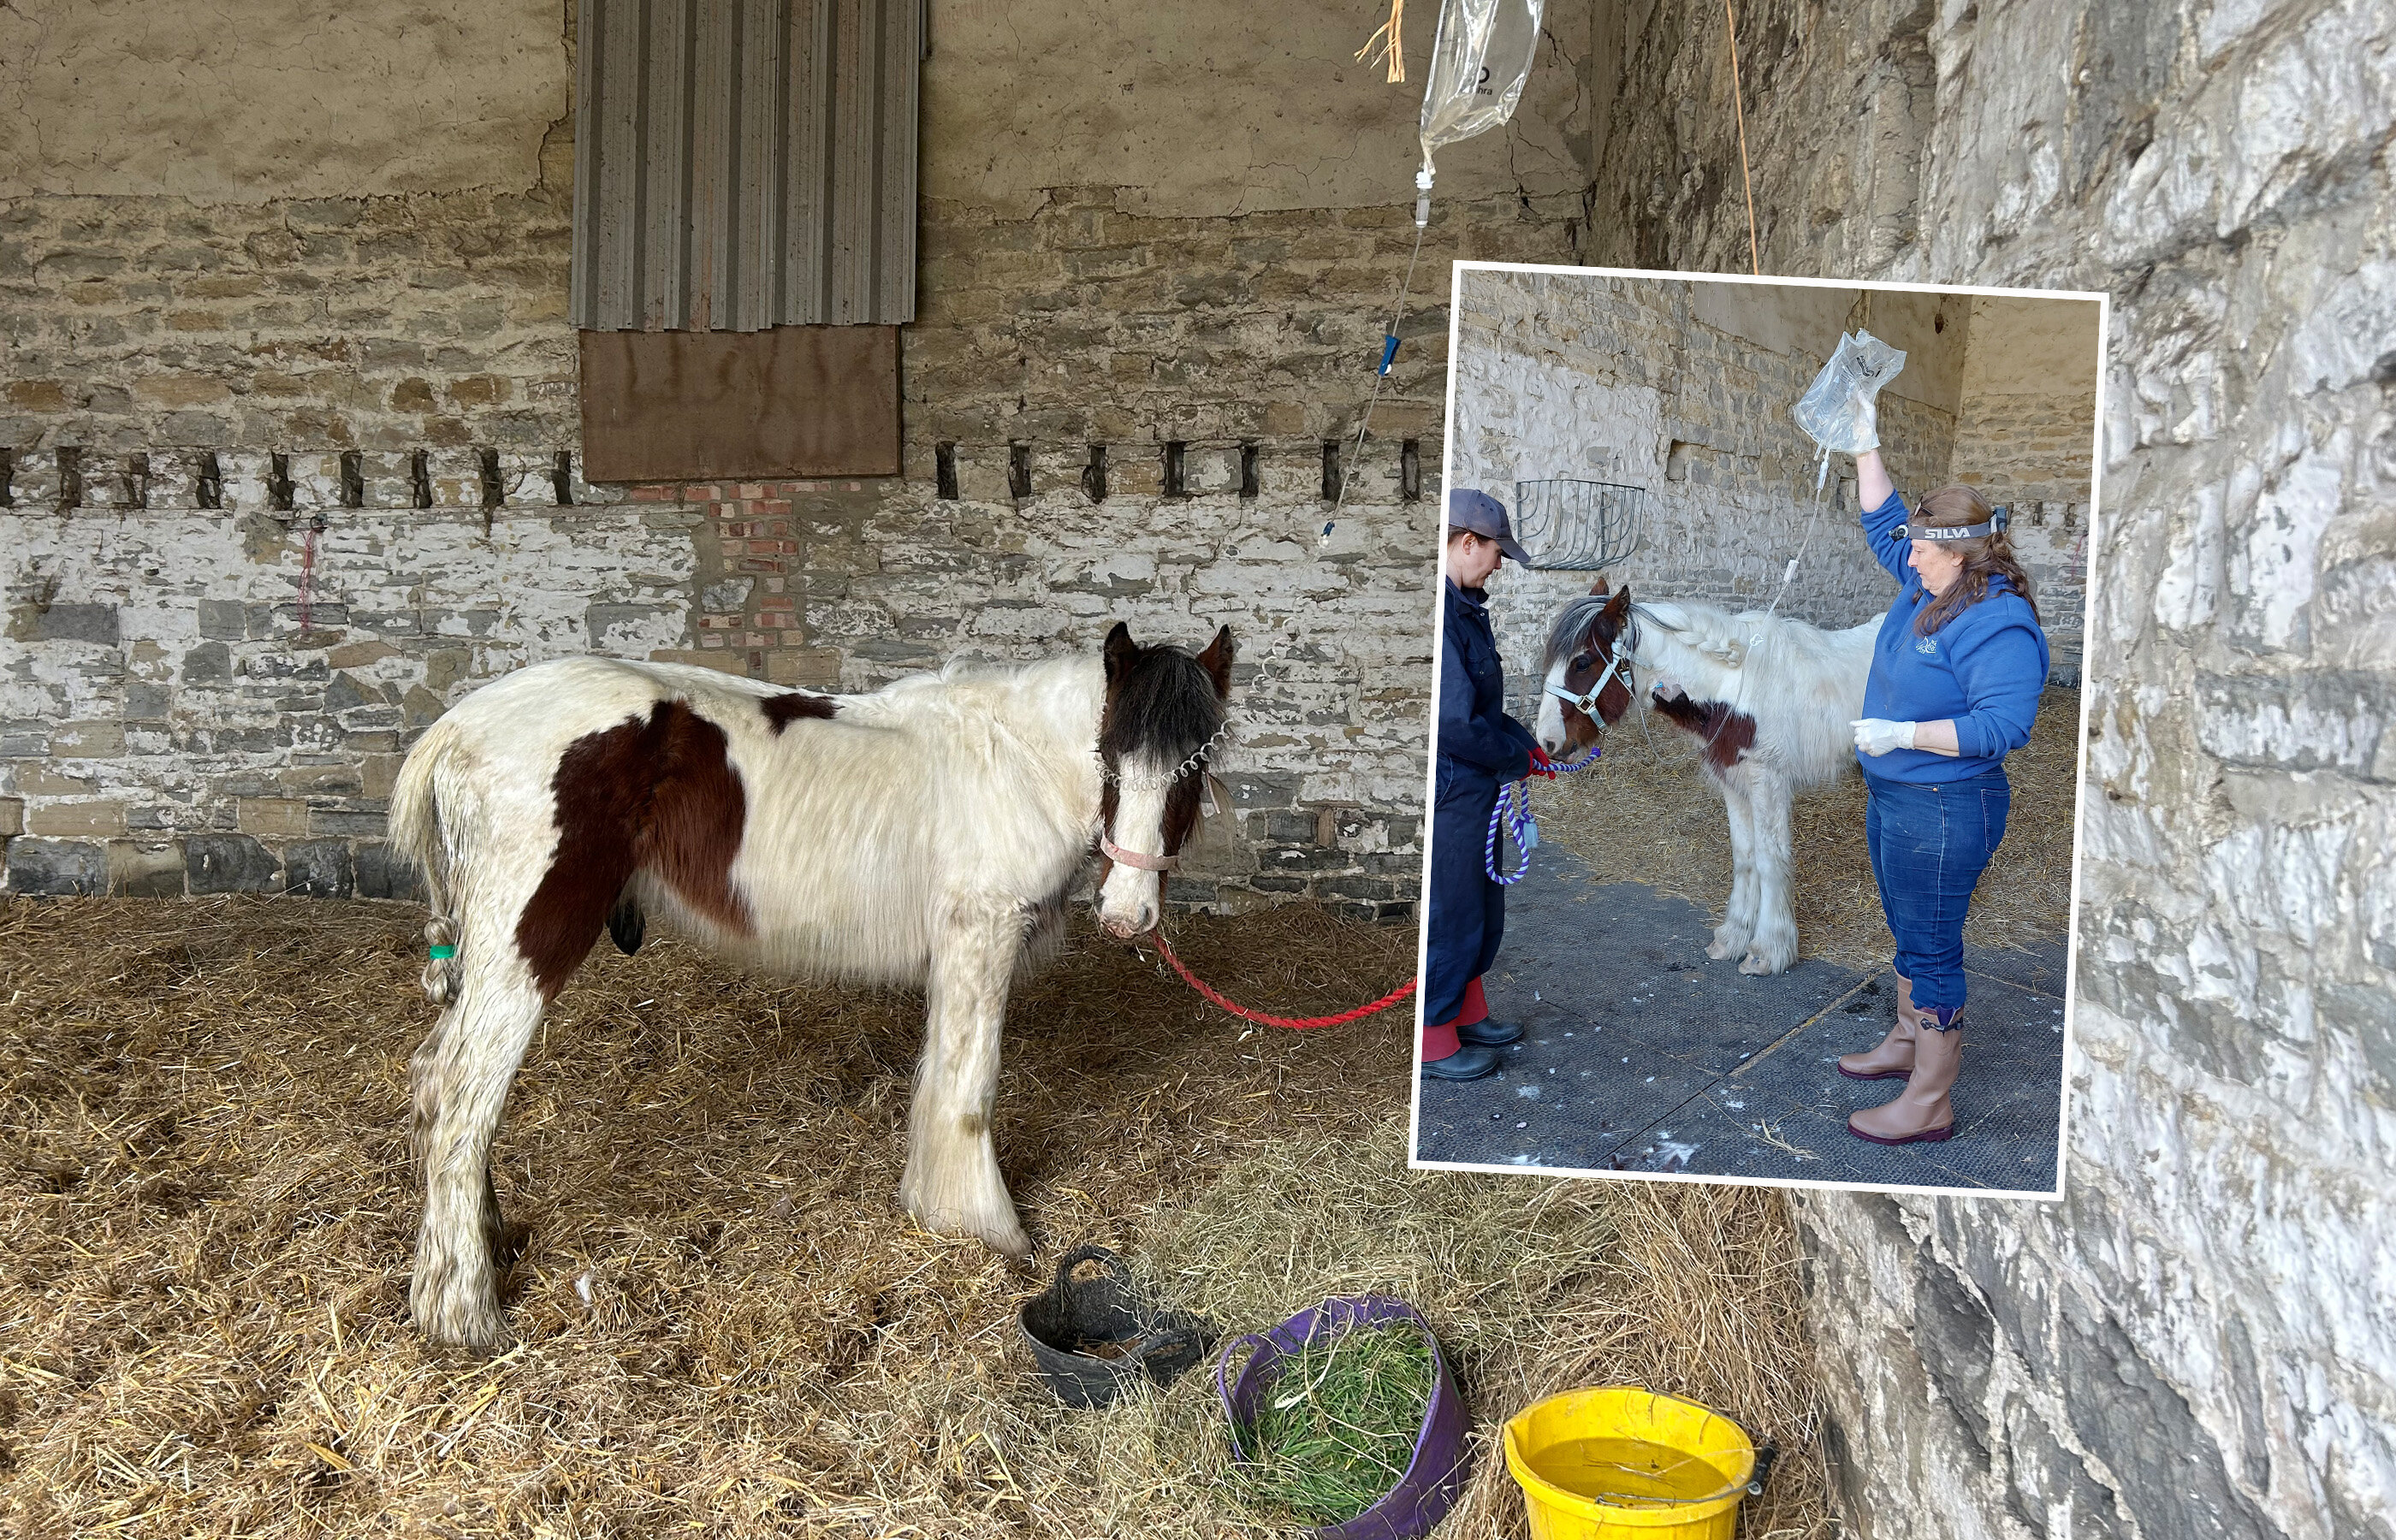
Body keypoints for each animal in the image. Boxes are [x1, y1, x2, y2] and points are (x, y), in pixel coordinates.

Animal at [388, 621, 1233, 1350]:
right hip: (528, 943)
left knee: (434, 1082)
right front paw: (987, 1225)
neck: (1013, 762)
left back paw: (485, 1247)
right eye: (1111, 757)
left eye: (1194, 766)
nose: (1127, 915)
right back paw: (464, 1313)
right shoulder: (982, 936)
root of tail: (457, 731)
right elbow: (970, 1088)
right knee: (463, 1096)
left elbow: (941, 1074)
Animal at [1534, 580, 1875, 975]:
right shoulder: (1733, 781)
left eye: (1582, 662)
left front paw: (1768, 950)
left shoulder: (1767, 781)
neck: (1735, 687)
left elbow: (1770, 860)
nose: (1547, 741)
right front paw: (1733, 938)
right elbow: (1745, 856)